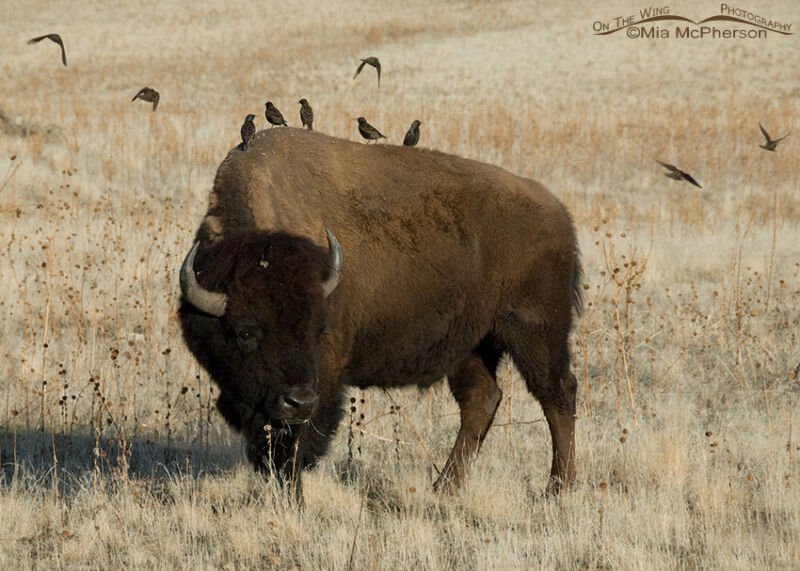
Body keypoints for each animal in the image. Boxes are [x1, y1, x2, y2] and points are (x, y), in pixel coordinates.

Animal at [178, 128, 582, 497]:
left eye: (316, 328)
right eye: (245, 331)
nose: (298, 401)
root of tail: (557, 212)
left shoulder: (323, 378)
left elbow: (294, 446)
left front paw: (293, 499)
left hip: (536, 332)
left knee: (559, 394)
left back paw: (557, 488)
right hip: (472, 346)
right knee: (482, 399)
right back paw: (444, 487)